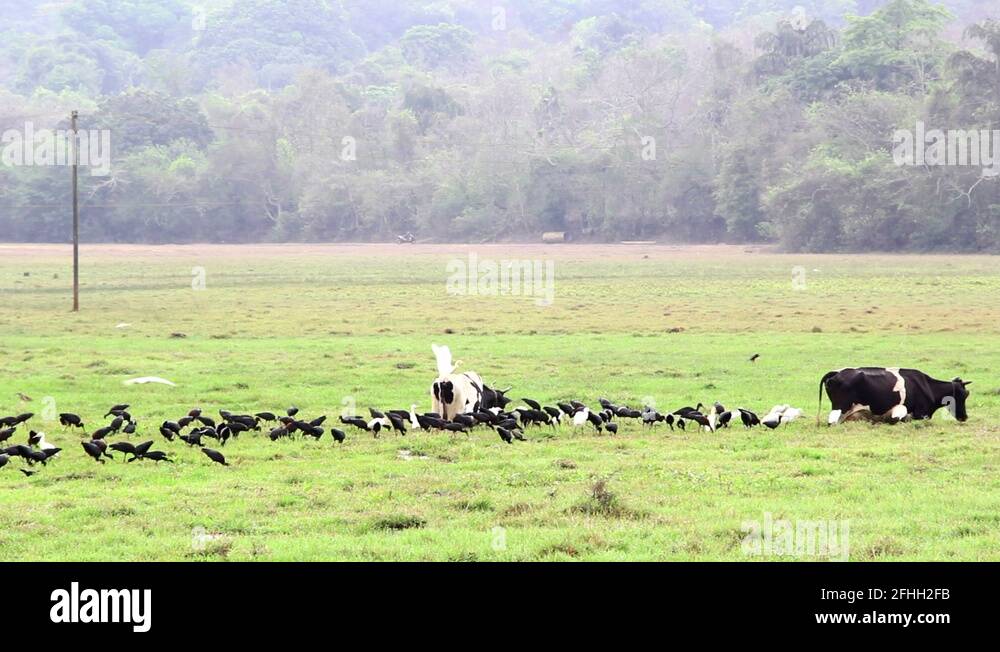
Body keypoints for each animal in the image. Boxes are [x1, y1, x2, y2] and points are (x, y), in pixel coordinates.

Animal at [818, 367, 971, 425]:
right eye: (964, 395)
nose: (964, 417)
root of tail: (837, 372)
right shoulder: (920, 413)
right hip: (840, 407)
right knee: (832, 422)